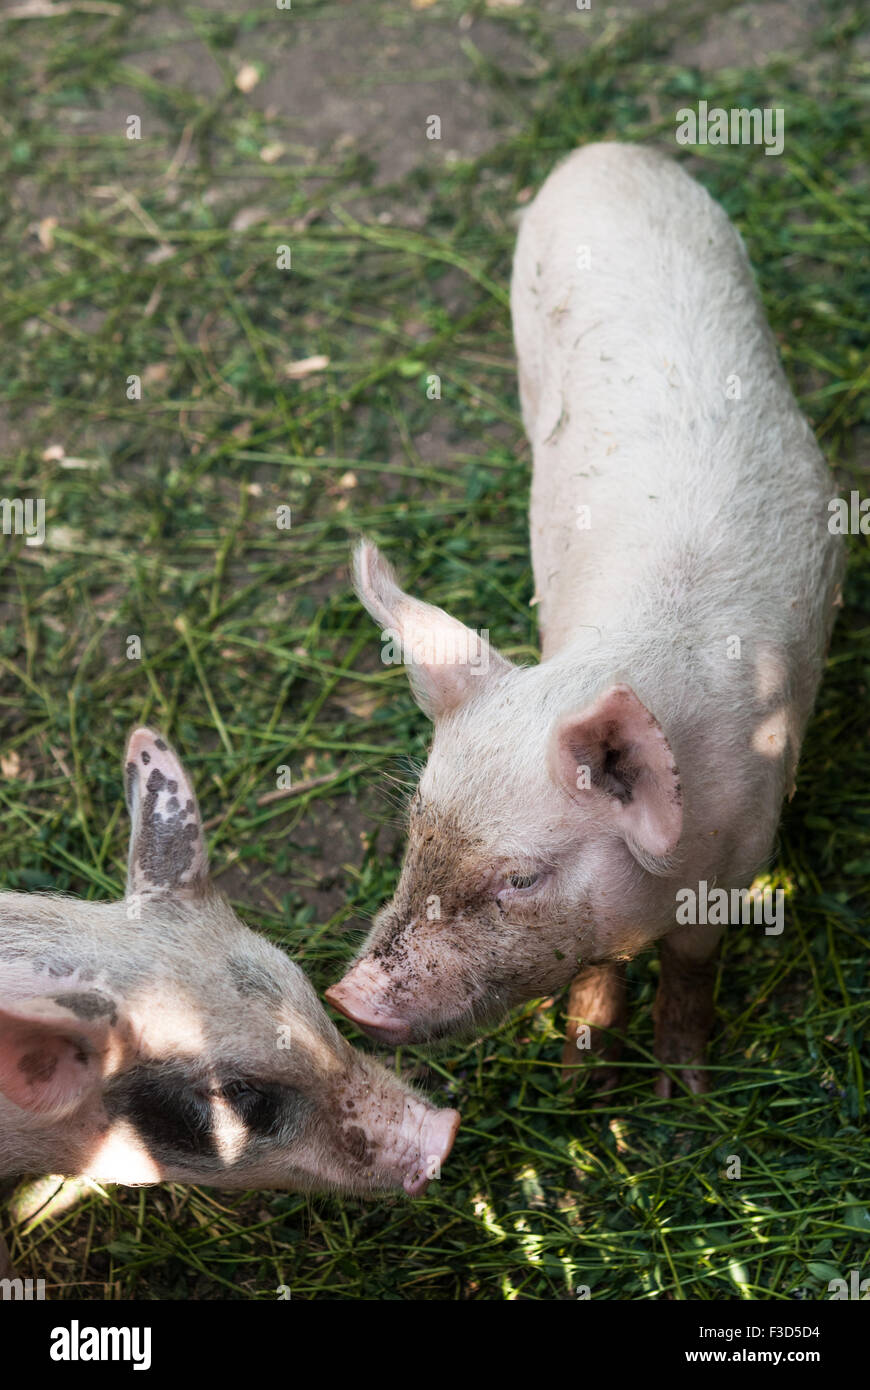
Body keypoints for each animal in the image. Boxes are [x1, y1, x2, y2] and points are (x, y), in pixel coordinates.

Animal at [326, 142, 844, 1095]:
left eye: (523, 880)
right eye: (415, 830)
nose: (348, 996)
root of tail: (606, 151)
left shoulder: (745, 854)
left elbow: (692, 968)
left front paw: (684, 1091)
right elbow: (601, 967)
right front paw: (581, 1080)